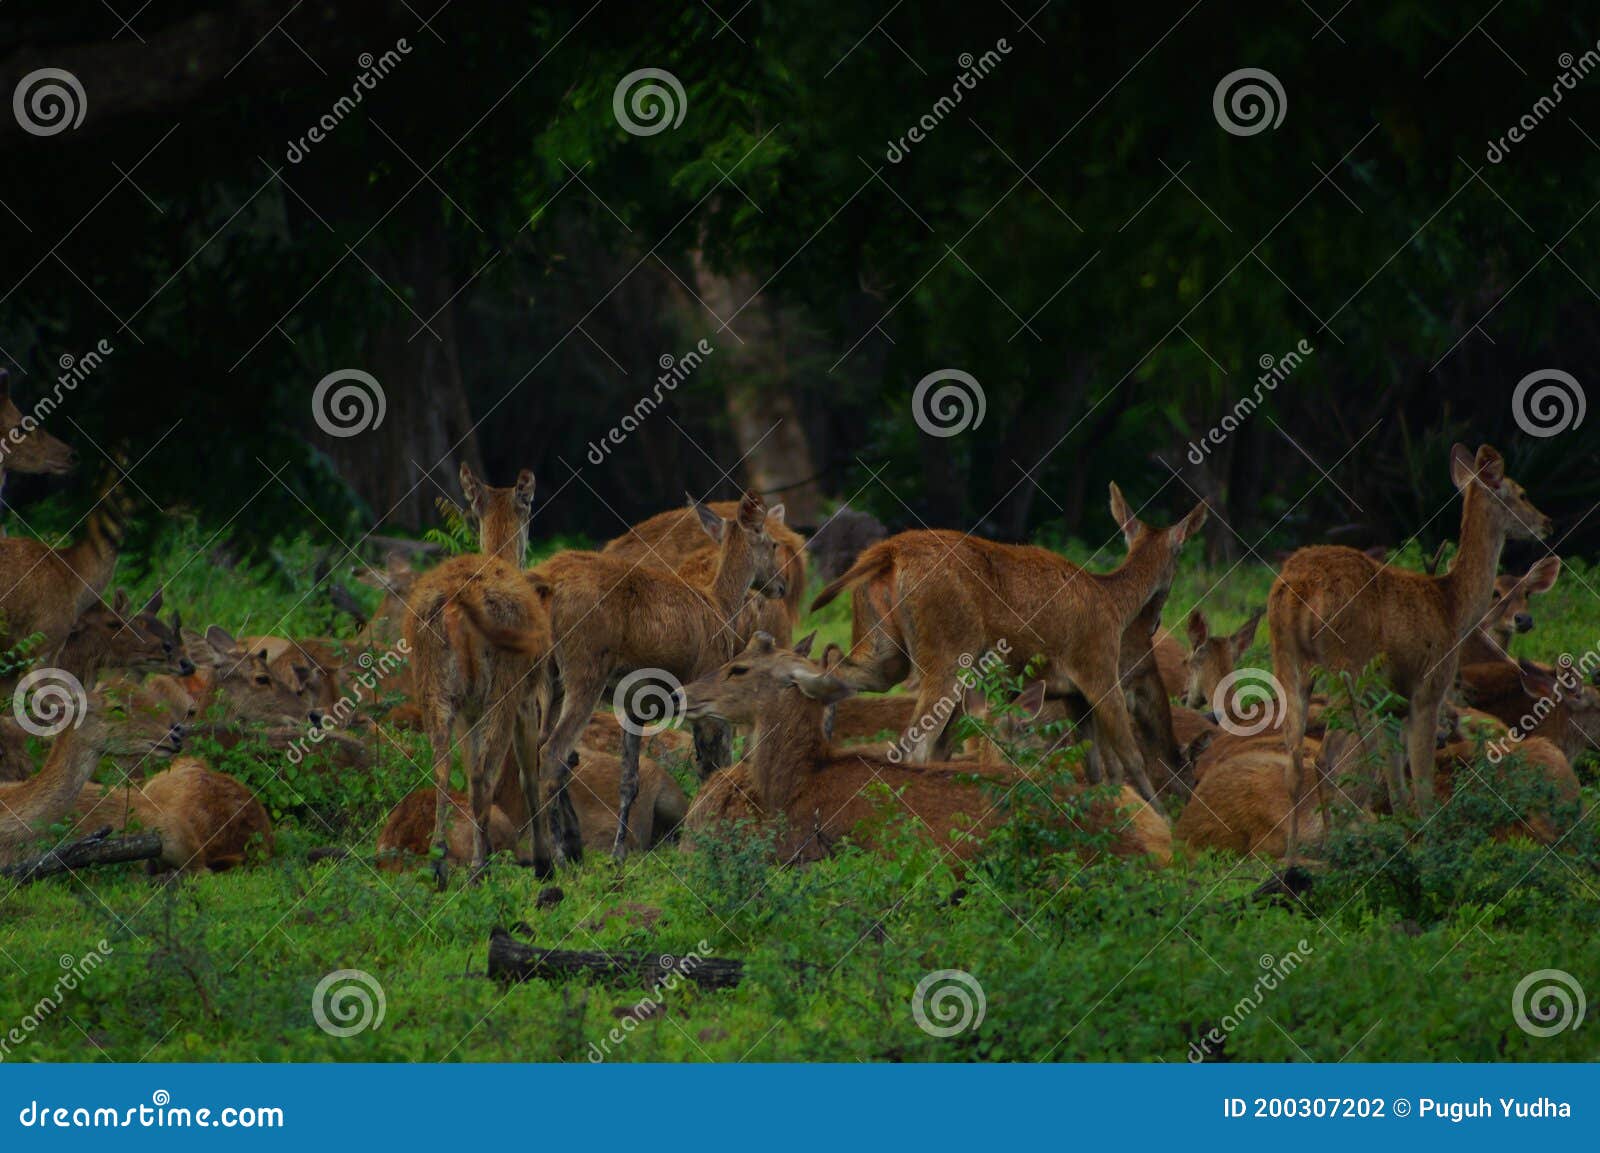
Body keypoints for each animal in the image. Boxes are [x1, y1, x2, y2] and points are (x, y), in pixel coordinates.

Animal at [405, 465, 555, 883]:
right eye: (531, 506)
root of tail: (459, 605)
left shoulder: (468, 711)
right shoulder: (528, 697)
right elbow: (529, 775)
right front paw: (544, 861)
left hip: (436, 688)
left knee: (443, 768)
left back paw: (438, 860)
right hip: (502, 687)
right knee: (486, 774)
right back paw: (479, 866)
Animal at [810, 484, 1207, 799]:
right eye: (1179, 554)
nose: (1155, 623)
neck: (1115, 602)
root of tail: (889, 552)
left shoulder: (1074, 696)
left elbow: (1095, 766)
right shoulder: (1099, 671)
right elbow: (1130, 758)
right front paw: (1162, 820)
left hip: (882, 646)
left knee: (831, 671)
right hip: (949, 652)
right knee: (915, 746)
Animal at [1270, 444, 1551, 861]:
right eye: (1521, 493)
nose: (1547, 523)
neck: (1454, 606)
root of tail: (1299, 588)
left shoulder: (1393, 705)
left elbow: (1397, 780)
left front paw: (1406, 837)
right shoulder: (1428, 689)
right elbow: (1421, 781)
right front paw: (1429, 845)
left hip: (1287, 661)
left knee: (1297, 762)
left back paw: (1293, 856)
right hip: (1351, 669)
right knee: (1329, 759)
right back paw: (1333, 847)